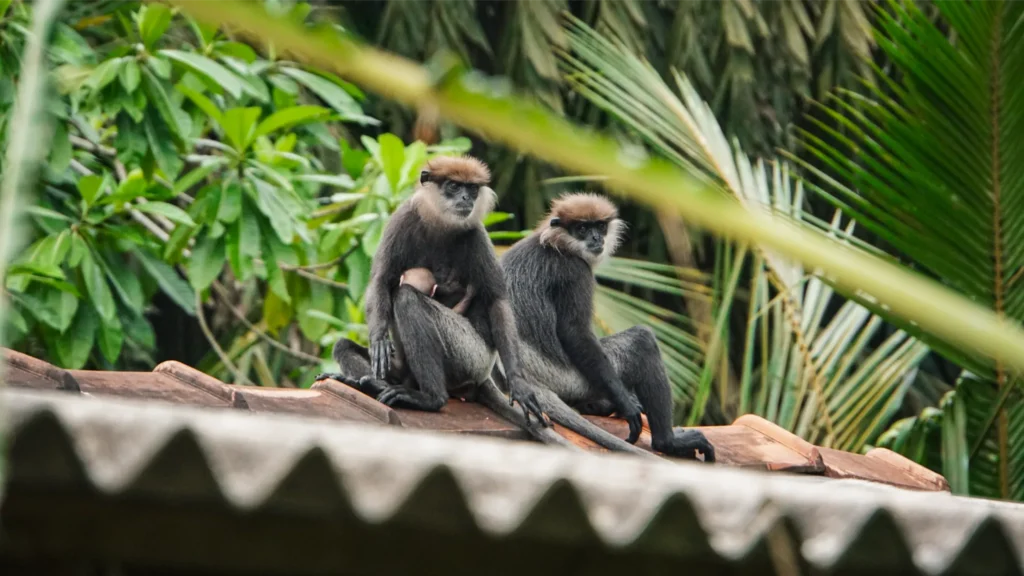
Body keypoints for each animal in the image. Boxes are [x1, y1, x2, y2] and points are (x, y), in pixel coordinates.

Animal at [314, 155, 578, 450]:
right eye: (453, 186)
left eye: (471, 189)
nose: (466, 197)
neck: (440, 223)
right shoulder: (402, 218)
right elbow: (381, 281)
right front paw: (379, 338)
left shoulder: (476, 234)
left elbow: (497, 301)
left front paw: (519, 384)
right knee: (345, 343)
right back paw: (370, 384)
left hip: (471, 356)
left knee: (407, 298)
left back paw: (429, 398)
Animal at [493, 192, 716, 462]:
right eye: (581, 228)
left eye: (599, 227)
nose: (595, 238)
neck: (554, 243)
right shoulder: (575, 270)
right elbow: (575, 333)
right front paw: (627, 406)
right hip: (571, 379)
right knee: (641, 341)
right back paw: (667, 441)